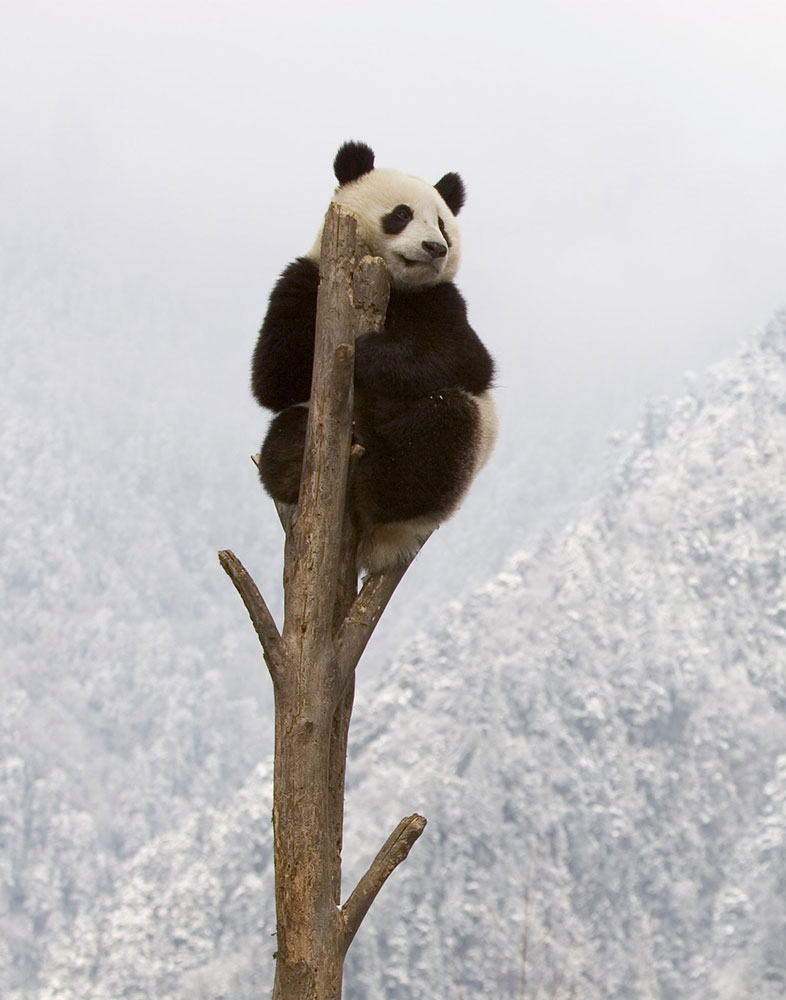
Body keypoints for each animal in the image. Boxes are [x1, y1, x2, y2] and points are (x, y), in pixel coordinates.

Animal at [251, 140, 497, 573]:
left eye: (442, 224)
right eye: (402, 214)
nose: (435, 248)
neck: (393, 283)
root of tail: (379, 547)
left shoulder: (441, 299)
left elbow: (466, 359)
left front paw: (368, 354)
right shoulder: (304, 275)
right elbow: (273, 376)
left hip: (461, 460)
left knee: (440, 432)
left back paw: (375, 479)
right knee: (287, 428)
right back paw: (295, 459)